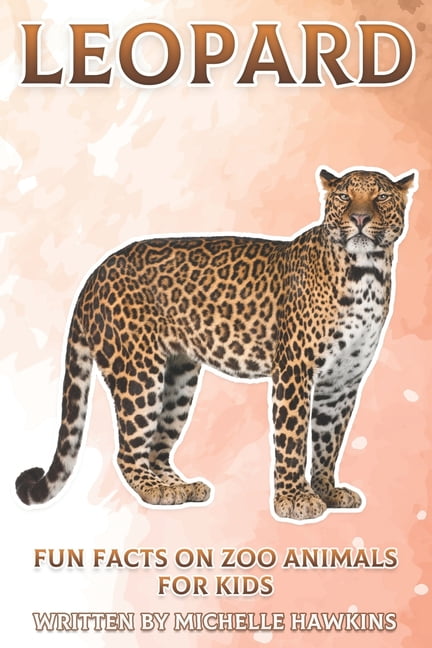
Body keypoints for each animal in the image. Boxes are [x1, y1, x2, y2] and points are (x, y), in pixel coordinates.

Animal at [15, 167, 415, 520]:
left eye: (381, 196)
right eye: (345, 196)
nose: (360, 218)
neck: (366, 274)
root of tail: (95, 274)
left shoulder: (343, 382)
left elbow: (328, 442)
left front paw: (327, 491)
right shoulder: (295, 372)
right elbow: (292, 439)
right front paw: (294, 499)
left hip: (179, 379)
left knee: (157, 447)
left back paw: (179, 486)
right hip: (138, 373)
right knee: (129, 451)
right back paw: (154, 490)